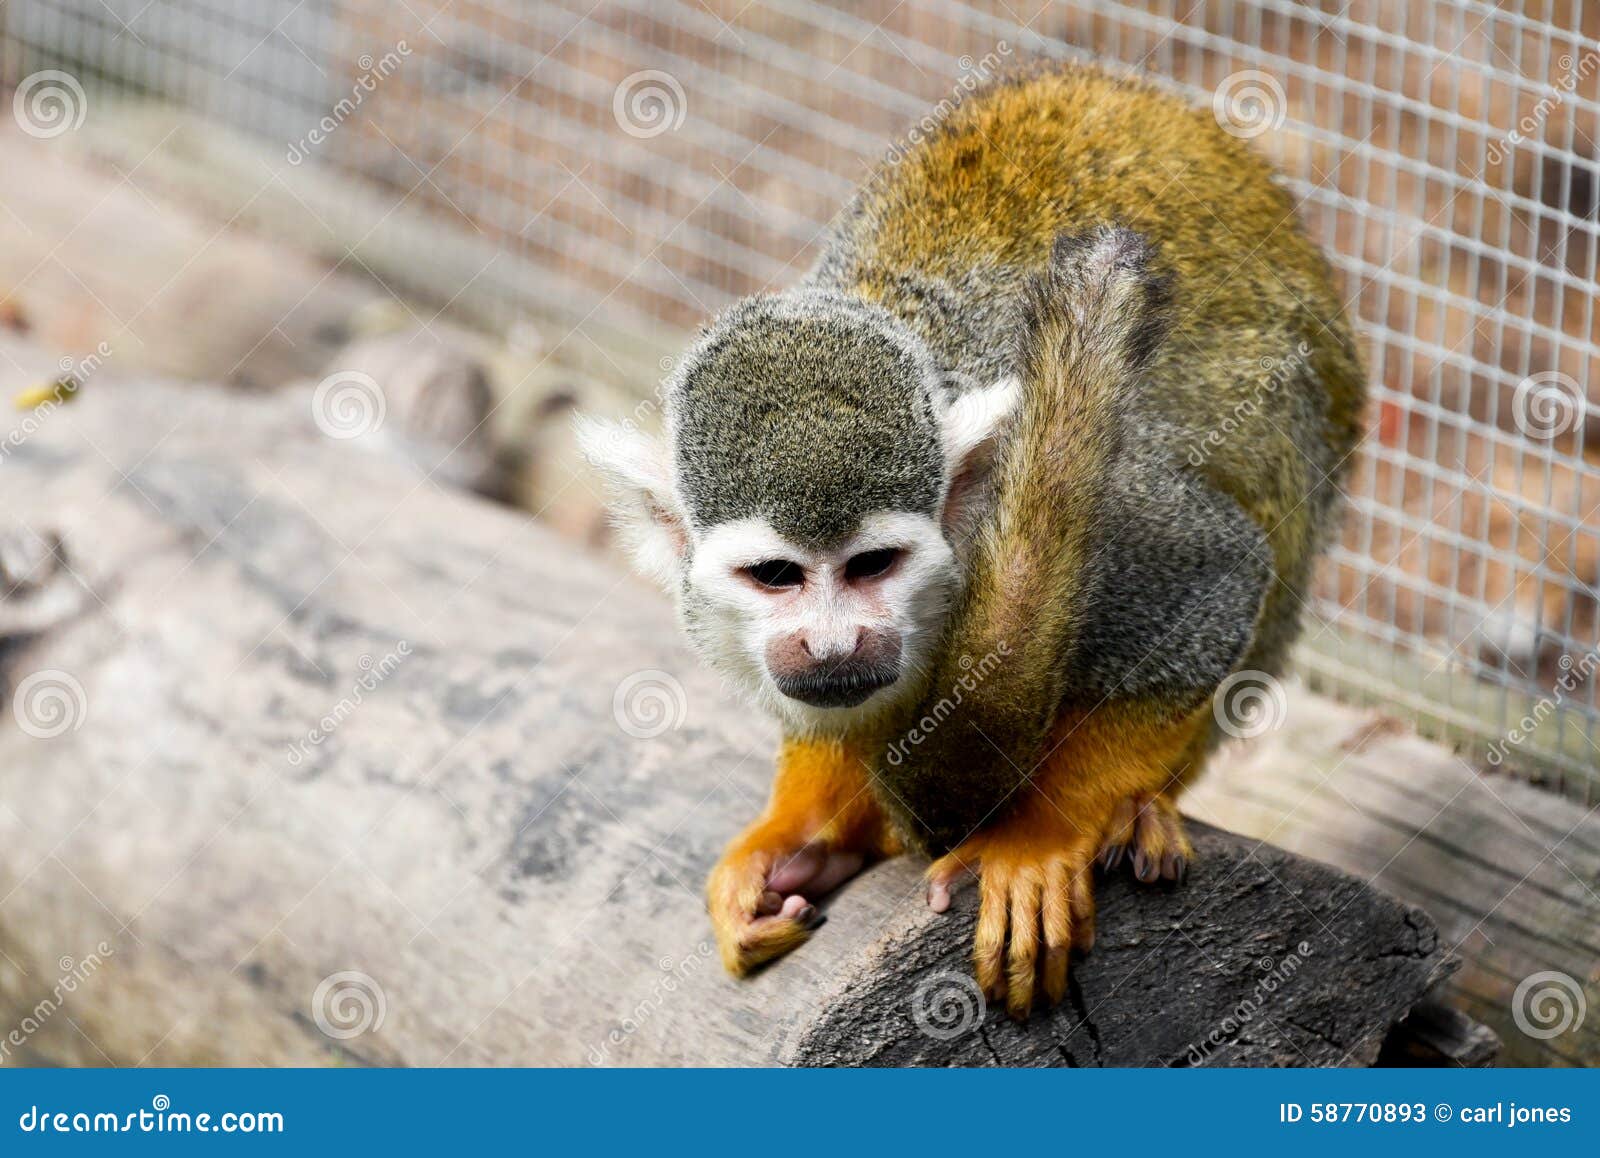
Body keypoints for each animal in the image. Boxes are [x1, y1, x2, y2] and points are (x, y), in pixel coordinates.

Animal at [579, 63, 1366, 1018]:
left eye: (873, 565)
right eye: (775, 576)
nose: (832, 644)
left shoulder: (1114, 524)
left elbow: (1215, 575)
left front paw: (1037, 835)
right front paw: (800, 831)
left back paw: (1137, 806)